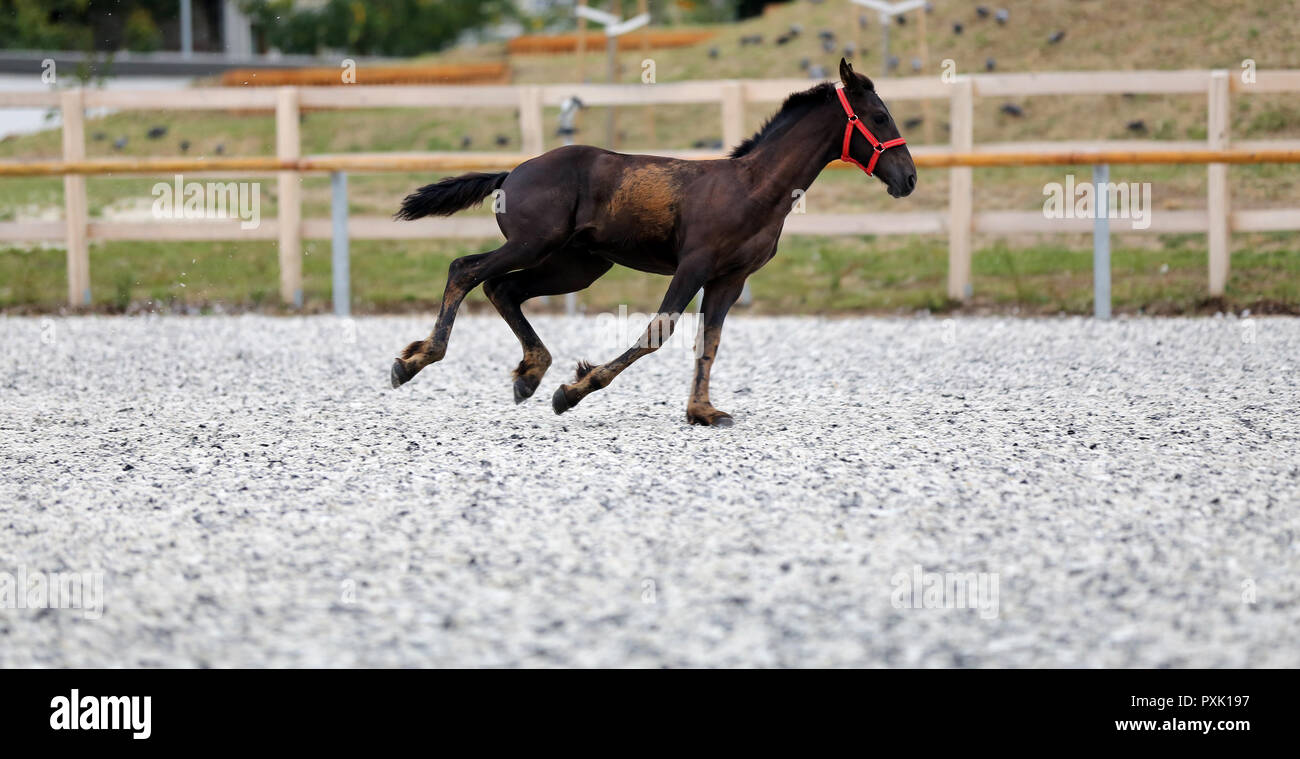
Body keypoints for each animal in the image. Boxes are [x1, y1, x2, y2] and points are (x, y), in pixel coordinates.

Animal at [389, 59, 916, 427]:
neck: (751, 188)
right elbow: (659, 331)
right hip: (534, 244)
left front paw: (703, 412)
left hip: (577, 266)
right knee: (466, 270)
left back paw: (530, 374)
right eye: (879, 116)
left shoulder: (729, 278)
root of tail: (512, 173)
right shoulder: (694, 265)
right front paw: (574, 391)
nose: (908, 178)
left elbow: (710, 341)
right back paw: (415, 361)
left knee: (504, 289)